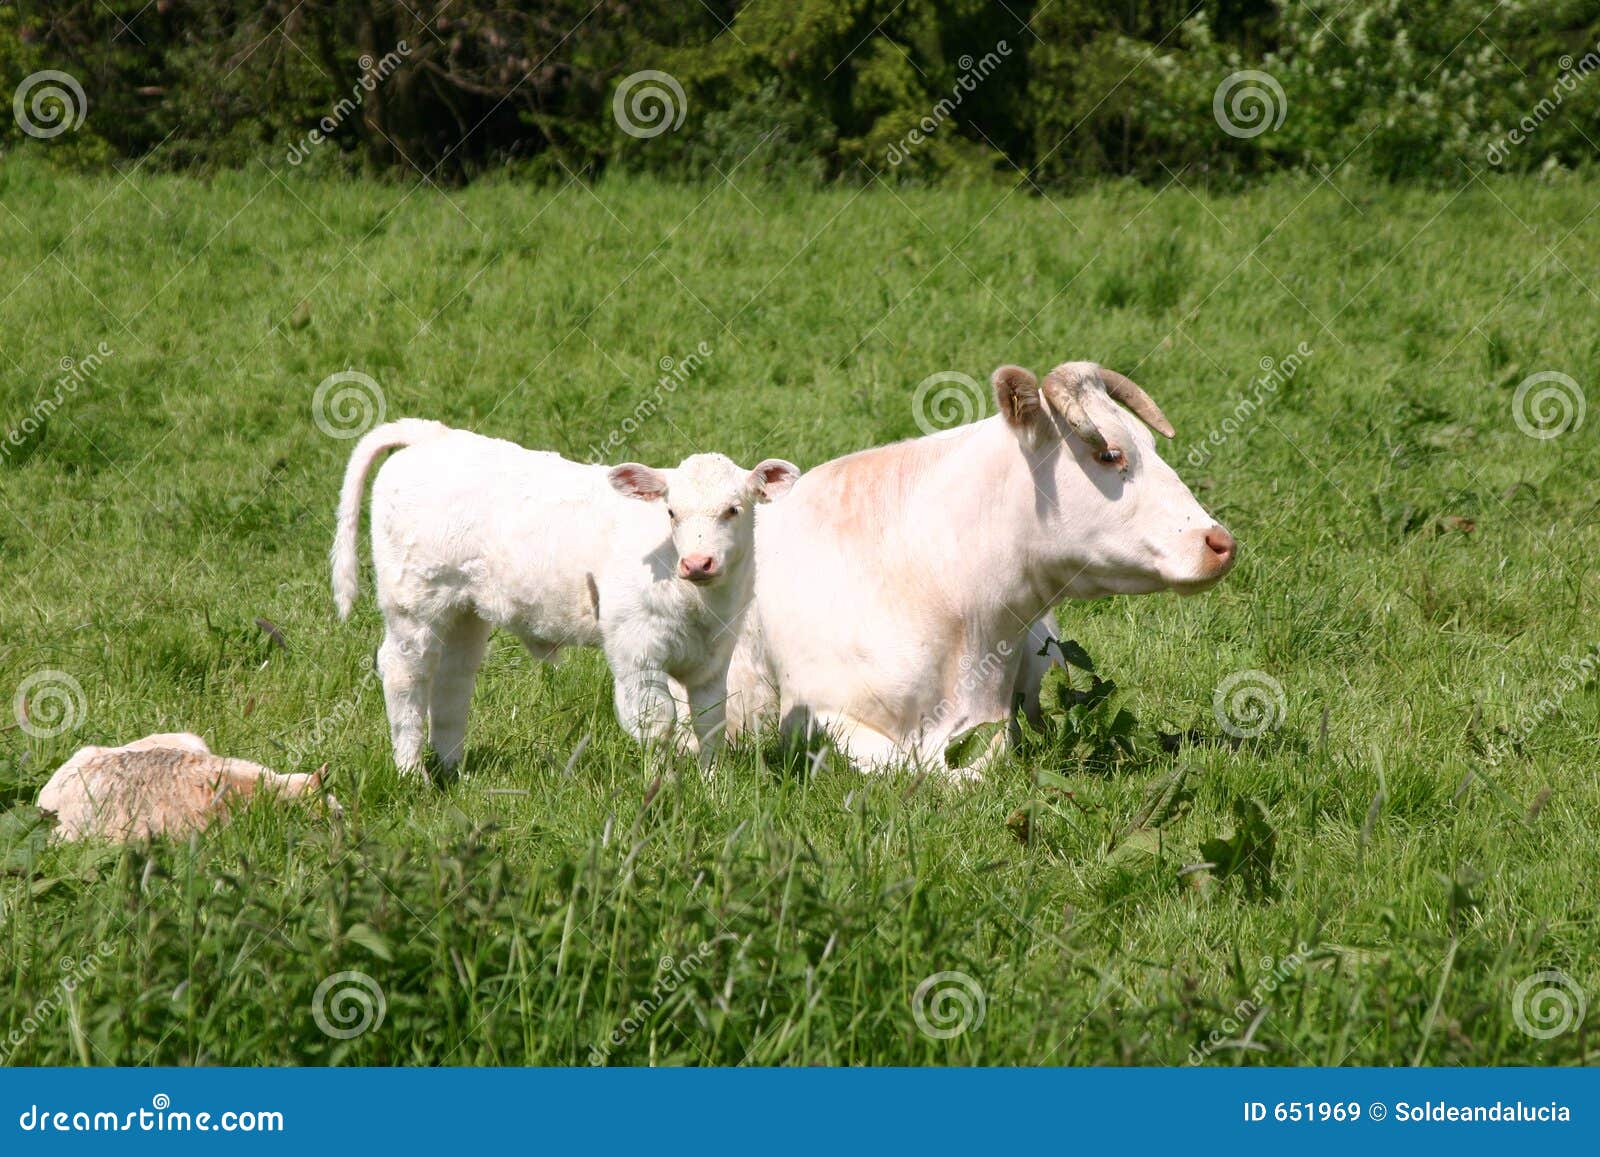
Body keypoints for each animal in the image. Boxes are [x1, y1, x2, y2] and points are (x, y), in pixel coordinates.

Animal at [332, 419, 799, 774]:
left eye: (734, 509)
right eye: (671, 512)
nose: (698, 563)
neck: (697, 602)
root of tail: (433, 435)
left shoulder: (715, 654)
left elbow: (709, 720)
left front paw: (712, 784)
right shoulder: (635, 650)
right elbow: (657, 721)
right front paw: (660, 784)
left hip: (463, 609)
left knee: (452, 678)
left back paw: (451, 770)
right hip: (412, 603)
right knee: (405, 674)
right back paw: (413, 774)